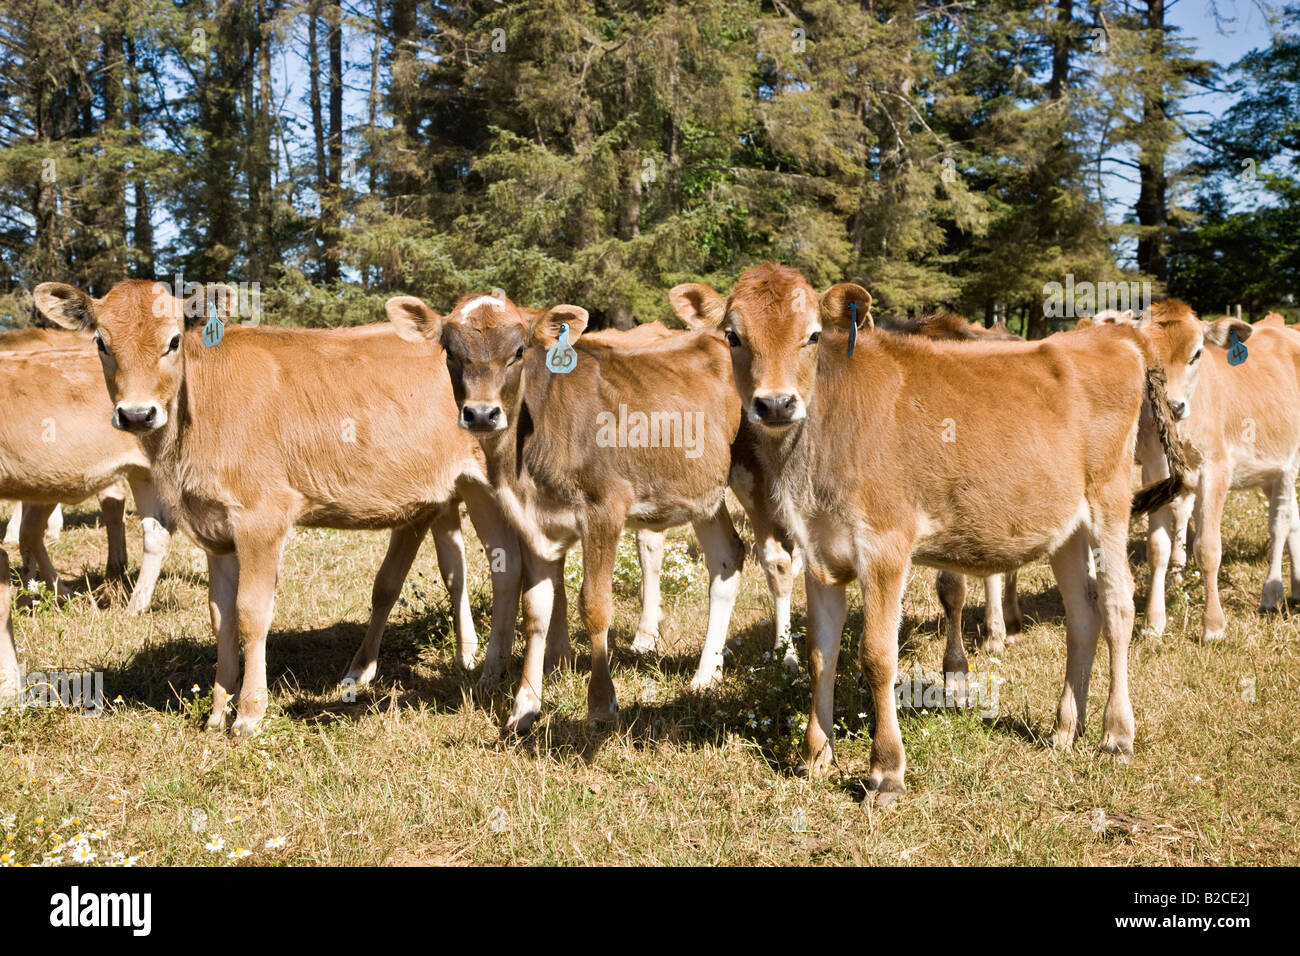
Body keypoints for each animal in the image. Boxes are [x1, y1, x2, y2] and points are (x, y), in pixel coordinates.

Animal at [33, 279, 524, 737]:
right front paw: (217, 712)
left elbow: (252, 613)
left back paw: (491, 672)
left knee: (506, 569)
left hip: (487, 487)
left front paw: (250, 713)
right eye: (101, 342)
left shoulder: (261, 516)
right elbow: (221, 617)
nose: (137, 414)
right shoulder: (216, 532)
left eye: (173, 341)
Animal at [388, 292, 756, 735]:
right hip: (704, 493)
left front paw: (601, 704)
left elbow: (594, 606)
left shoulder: (605, 509)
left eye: (519, 351)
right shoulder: (531, 522)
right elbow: (536, 609)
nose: (481, 414)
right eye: (449, 351)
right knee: (726, 559)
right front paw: (524, 706)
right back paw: (706, 676)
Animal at [670, 263, 1188, 801]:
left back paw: (1116, 734)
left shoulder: (885, 544)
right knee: (1082, 616)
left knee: (1117, 607)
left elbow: (877, 655)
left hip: (1110, 501)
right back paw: (1065, 728)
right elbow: (820, 653)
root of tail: (1117, 338)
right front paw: (815, 755)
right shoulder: (818, 551)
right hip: (1066, 527)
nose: (775, 404)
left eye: (812, 336)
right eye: (733, 336)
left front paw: (886, 770)